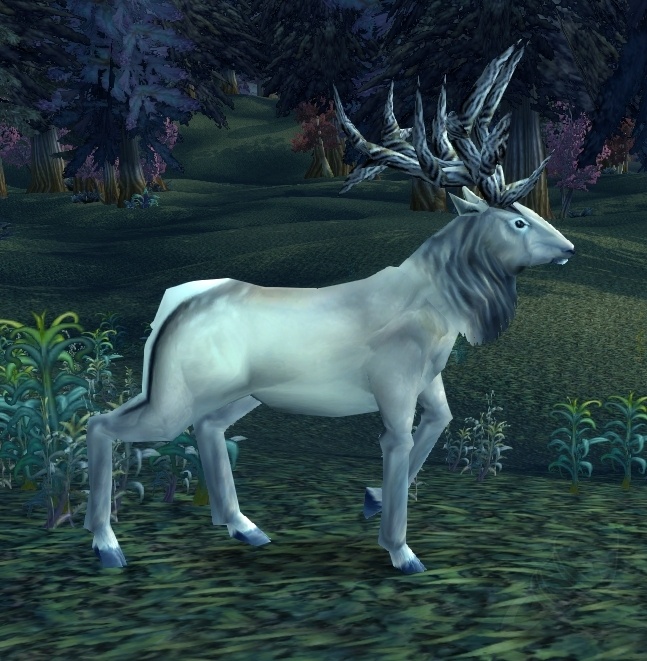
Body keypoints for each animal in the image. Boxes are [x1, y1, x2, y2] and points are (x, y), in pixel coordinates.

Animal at [83, 41, 574, 574]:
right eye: (516, 221)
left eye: (527, 212)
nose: (567, 247)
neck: (444, 313)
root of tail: (174, 306)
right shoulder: (393, 385)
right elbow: (398, 446)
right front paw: (401, 550)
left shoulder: (429, 380)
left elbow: (440, 423)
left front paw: (372, 498)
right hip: (176, 394)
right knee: (100, 423)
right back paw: (106, 543)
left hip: (235, 393)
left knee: (205, 427)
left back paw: (243, 526)